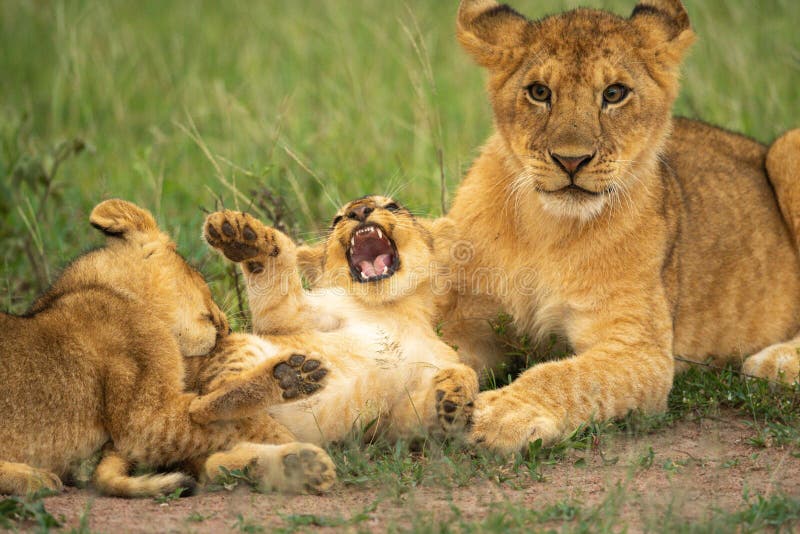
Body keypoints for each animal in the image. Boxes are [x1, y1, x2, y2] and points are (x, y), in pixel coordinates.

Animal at [185, 195, 479, 445]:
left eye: (393, 206)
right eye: (337, 220)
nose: (359, 210)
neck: (393, 308)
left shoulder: (394, 420)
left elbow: (430, 405)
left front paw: (453, 396)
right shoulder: (292, 315)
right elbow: (277, 283)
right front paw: (241, 235)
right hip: (244, 348)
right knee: (199, 407)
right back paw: (293, 379)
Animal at [435, 0, 800, 454]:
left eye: (614, 94)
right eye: (539, 92)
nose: (571, 160)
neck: (546, 229)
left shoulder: (640, 349)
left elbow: (565, 376)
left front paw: (500, 414)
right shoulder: (468, 320)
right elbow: (426, 348)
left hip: (787, 148)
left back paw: (774, 362)